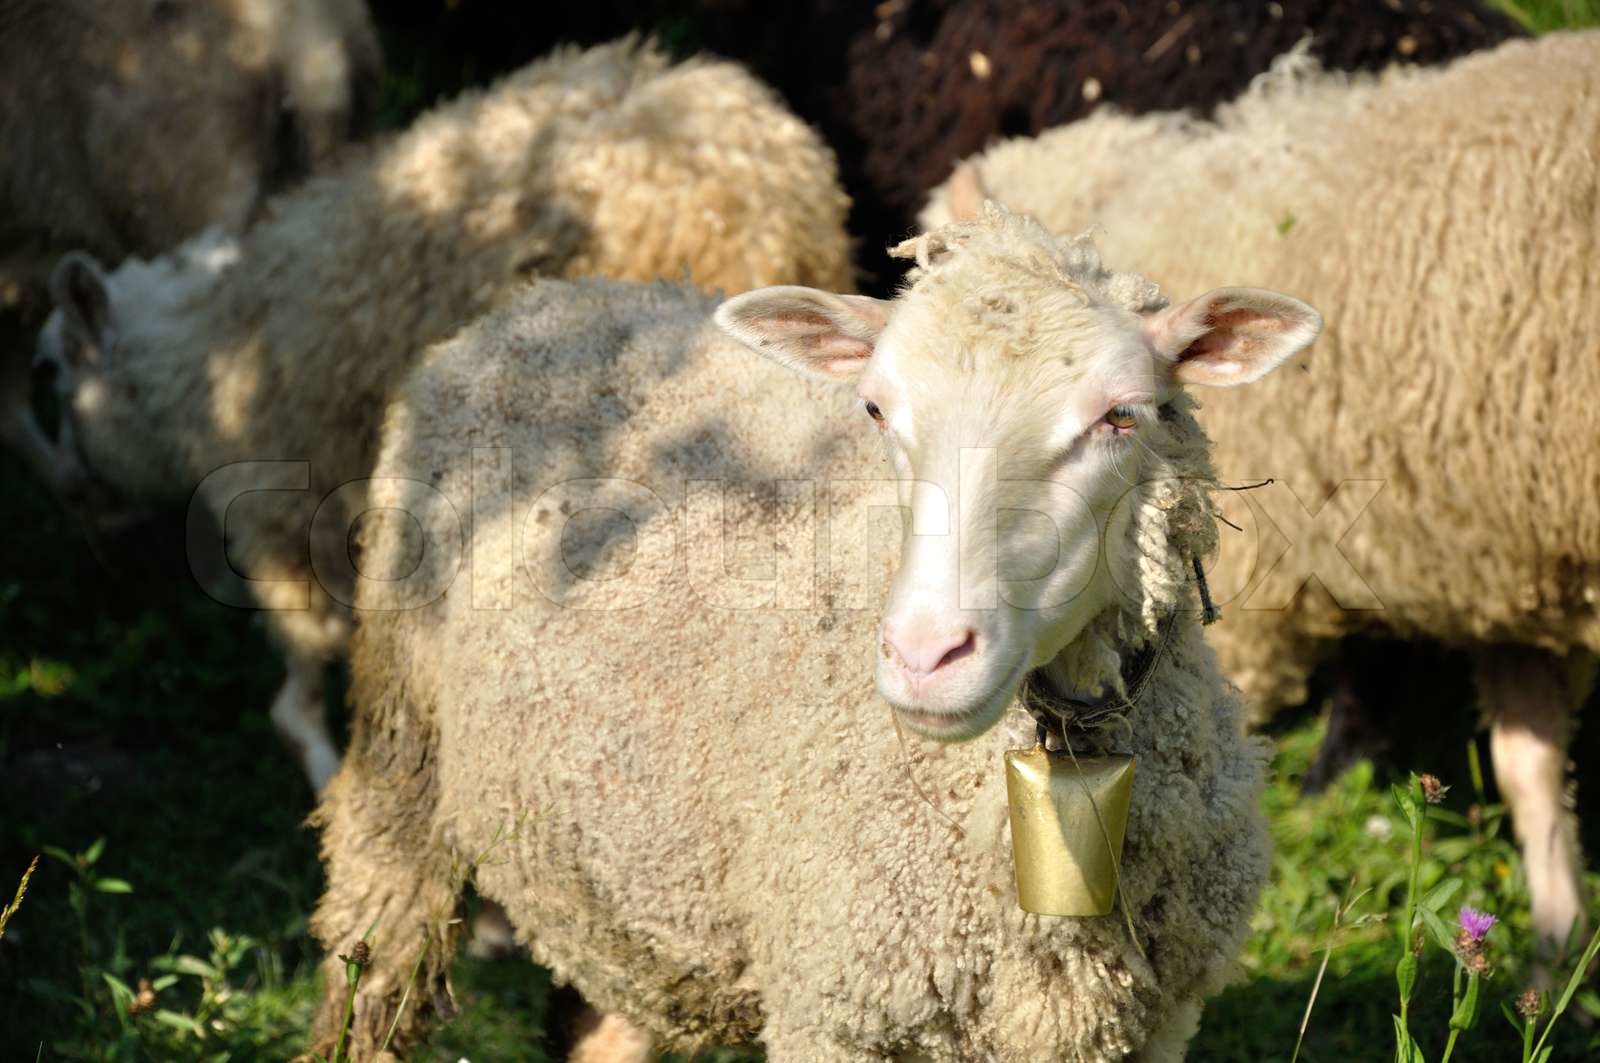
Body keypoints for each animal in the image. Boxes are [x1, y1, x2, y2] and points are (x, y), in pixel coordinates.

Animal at [19, 38, 854, 791]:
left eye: (52, 370)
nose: (70, 495)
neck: (213, 353)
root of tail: (767, 182)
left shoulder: (290, 515)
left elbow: (301, 683)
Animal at [309, 207, 1321, 1060]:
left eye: (1121, 415)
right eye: (875, 409)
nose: (925, 655)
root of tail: (551, 297)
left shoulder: (1152, 1024)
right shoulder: (837, 1009)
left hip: (619, 869)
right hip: (404, 752)